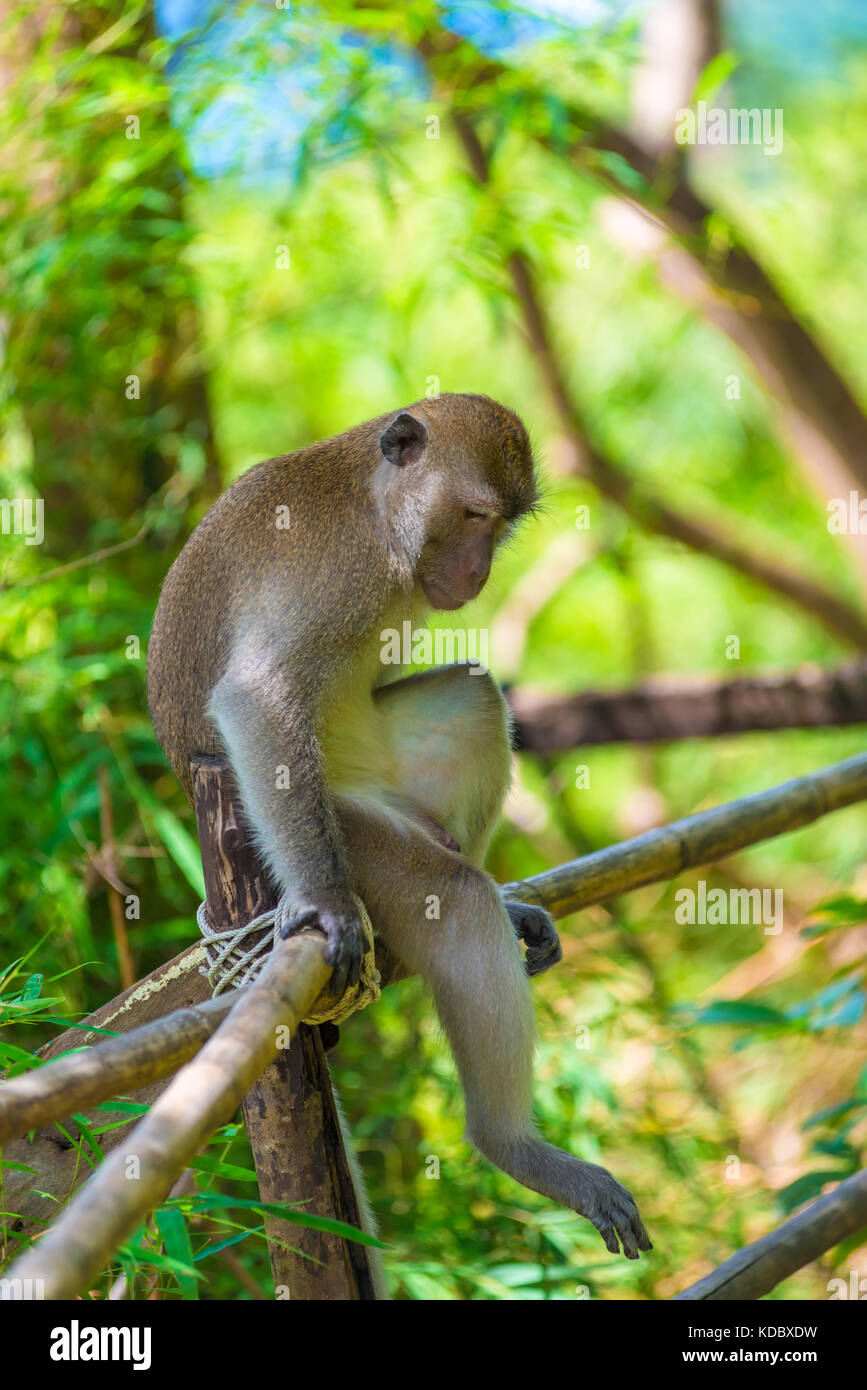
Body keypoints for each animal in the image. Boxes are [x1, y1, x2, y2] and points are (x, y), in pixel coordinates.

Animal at [147, 392, 651, 1261]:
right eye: (474, 514)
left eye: (503, 525)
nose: (479, 573)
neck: (379, 518)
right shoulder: (331, 572)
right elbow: (256, 699)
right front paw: (325, 906)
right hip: (346, 827)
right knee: (449, 895)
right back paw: (511, 1145)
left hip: (383, 771)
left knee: (475, 698)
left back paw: (500, 897)